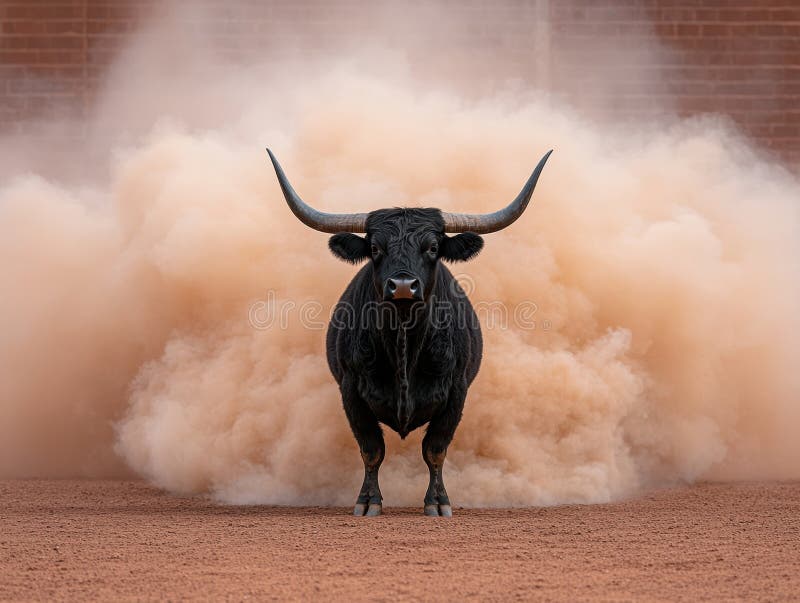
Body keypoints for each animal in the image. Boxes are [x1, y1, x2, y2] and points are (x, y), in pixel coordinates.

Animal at [267, 148, 552, 516]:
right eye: (375, 248)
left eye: (432, 247)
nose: (403, 285)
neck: (404, 343)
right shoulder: (350, 390)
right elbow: (371, 449)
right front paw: (368, 502)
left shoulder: (457, 391)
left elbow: (435, 449)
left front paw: (439, 503)